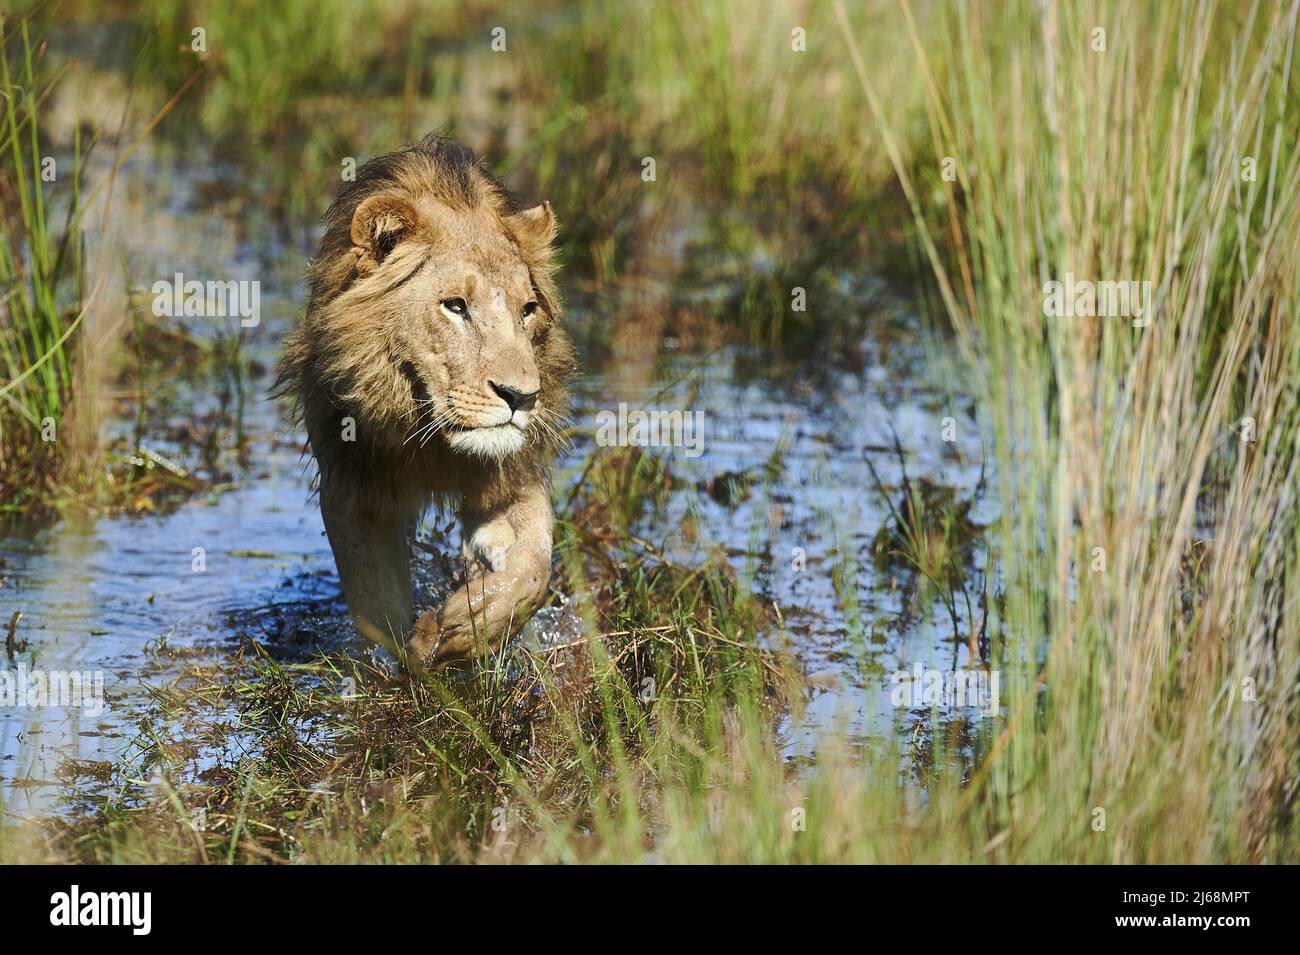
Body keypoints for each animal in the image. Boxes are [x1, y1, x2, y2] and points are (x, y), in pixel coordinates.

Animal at [277, 134, 575, 671]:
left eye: (527, 309)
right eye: (455, 306)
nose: (522, 397)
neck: (431, 433)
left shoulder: (511, 472)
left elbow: (532, 569)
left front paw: (465, 626)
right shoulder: (354, 482)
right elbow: (378, 602)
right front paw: (402, 665)